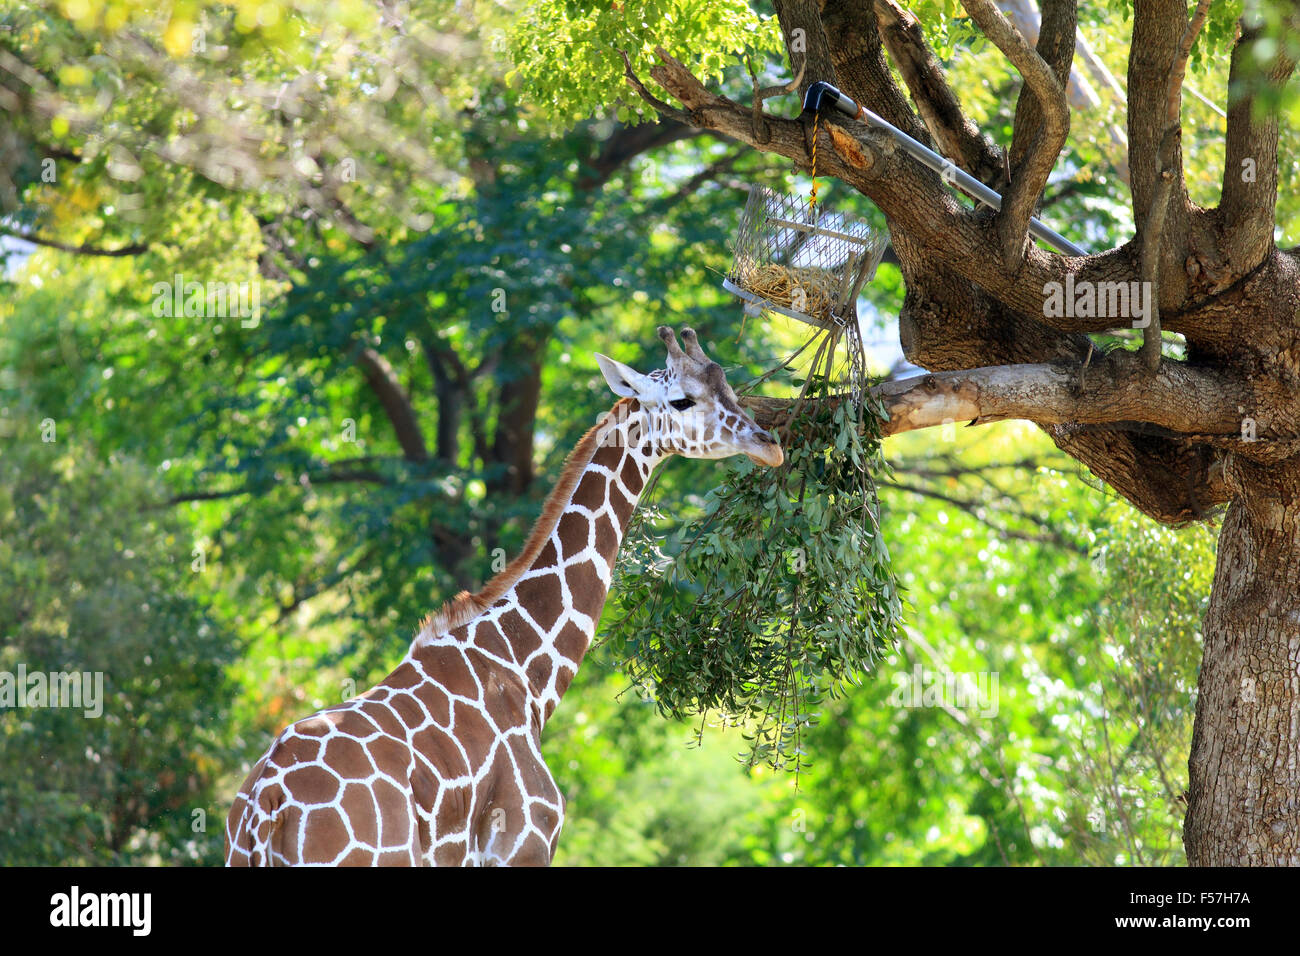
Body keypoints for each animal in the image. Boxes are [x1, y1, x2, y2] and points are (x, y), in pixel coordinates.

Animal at [224, 326, 783, 866]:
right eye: (684, 400)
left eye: (729, 387)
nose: (769, 444)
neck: (524, 669)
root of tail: (265, 813)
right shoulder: (524, 843)